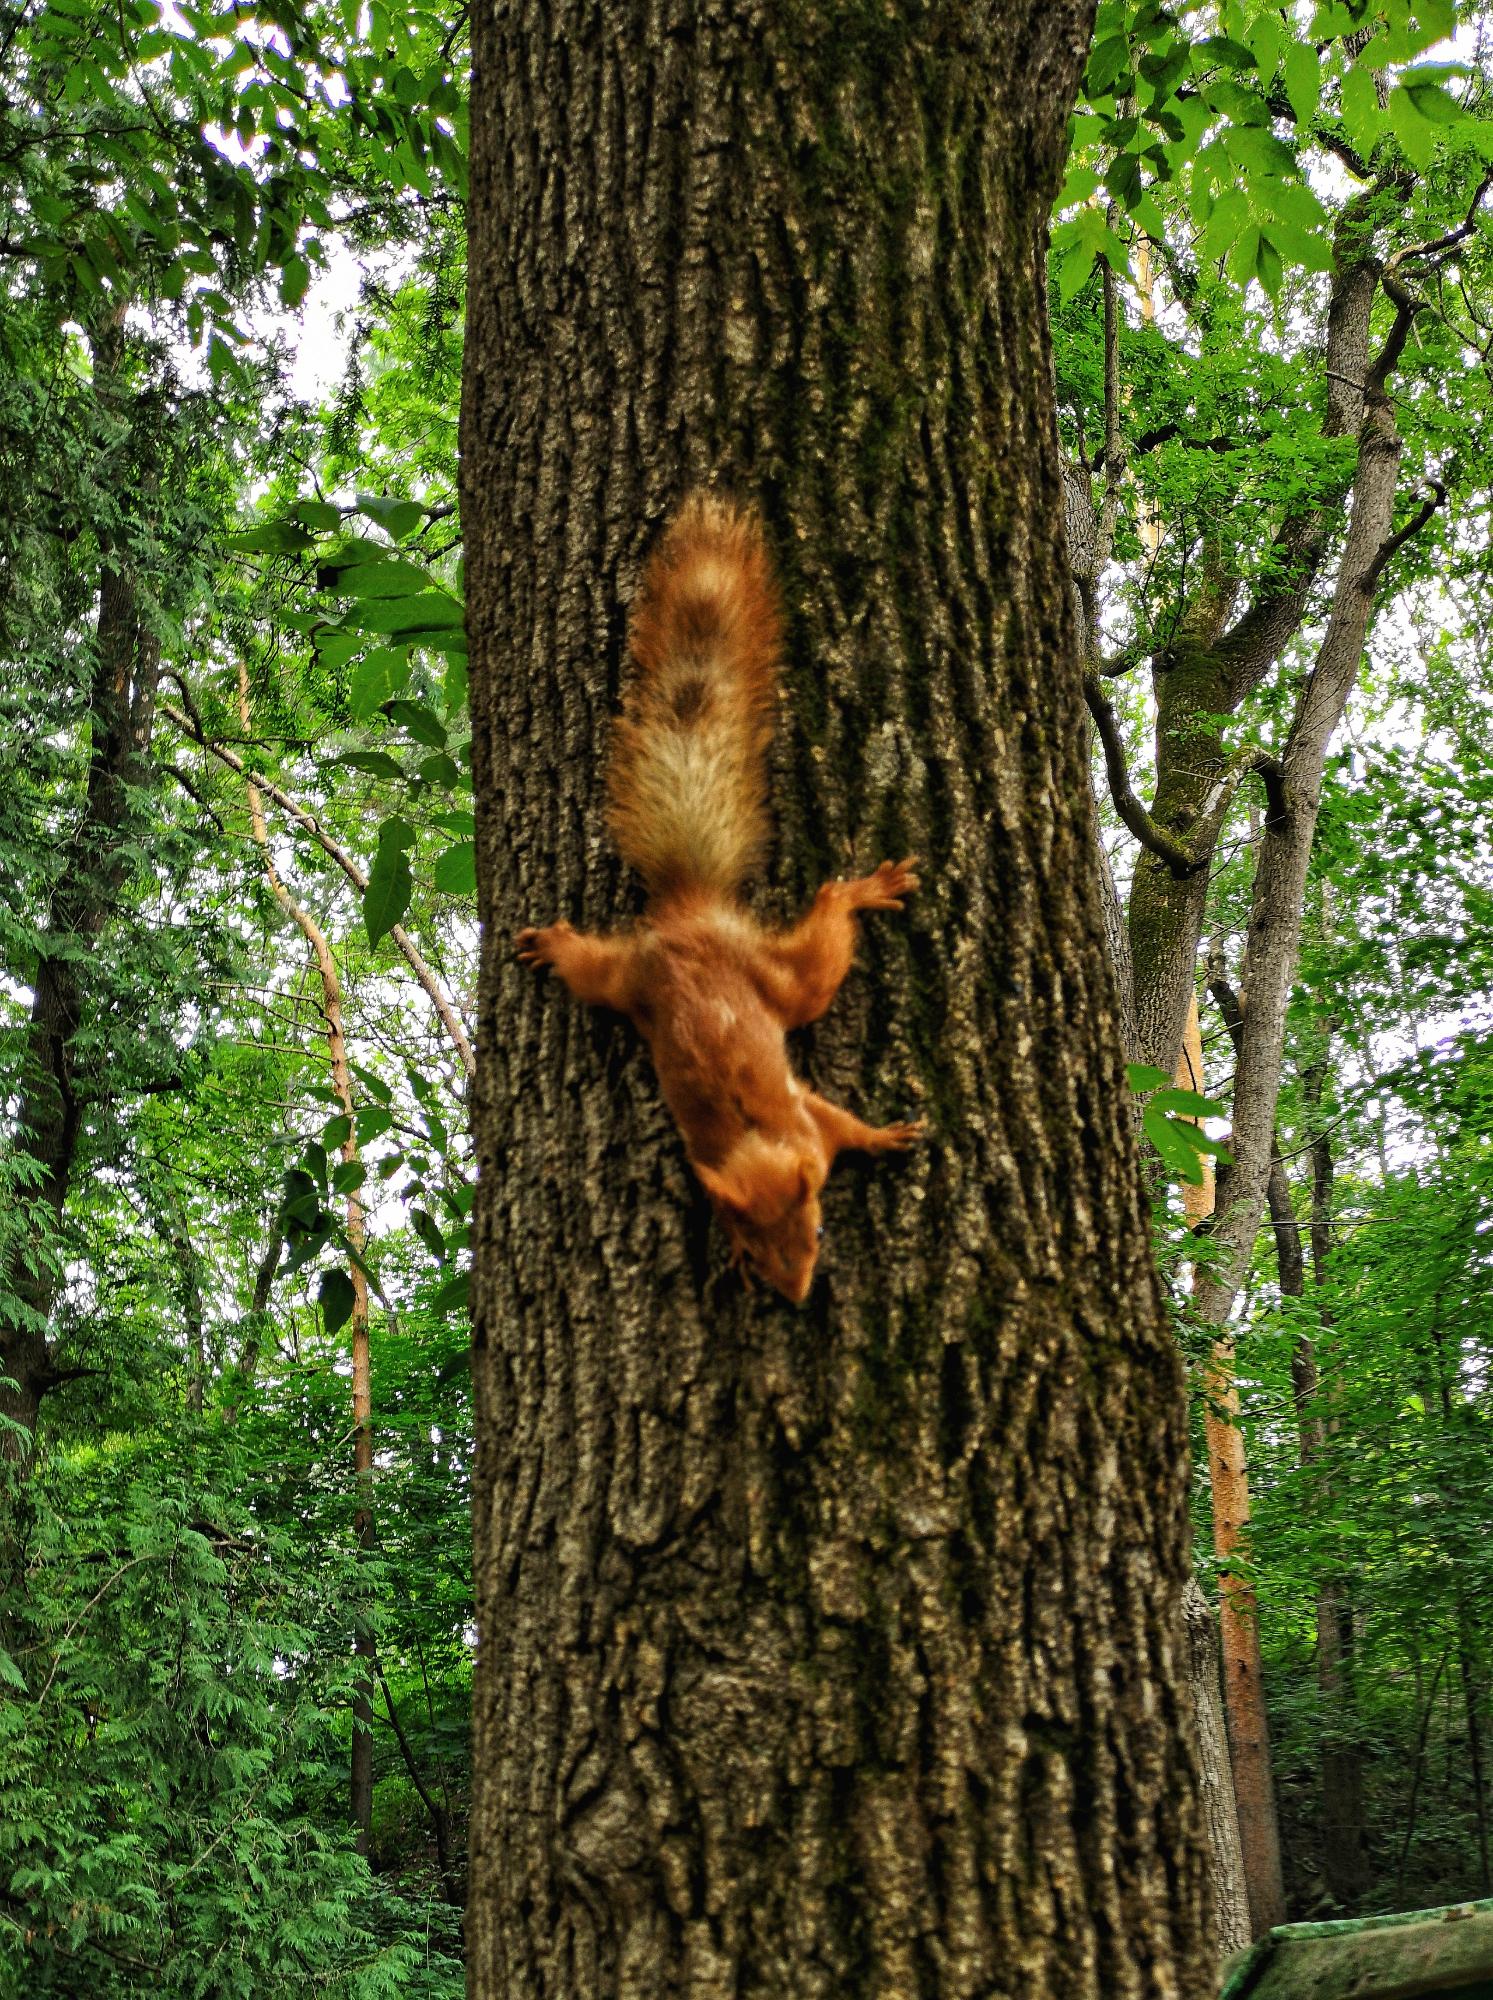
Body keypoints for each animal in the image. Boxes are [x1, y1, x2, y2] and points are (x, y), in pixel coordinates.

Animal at [516, 498, 924, 1304]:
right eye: (753, 1249)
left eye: (818, 1232)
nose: (796, 1297)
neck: (750, 1146)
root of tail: (689, 918)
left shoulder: (810, 1131)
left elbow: (843, 1128)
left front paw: (884, 1137)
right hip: (638, 983)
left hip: (715, 980)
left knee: (818, 941)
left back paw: (864, 889)